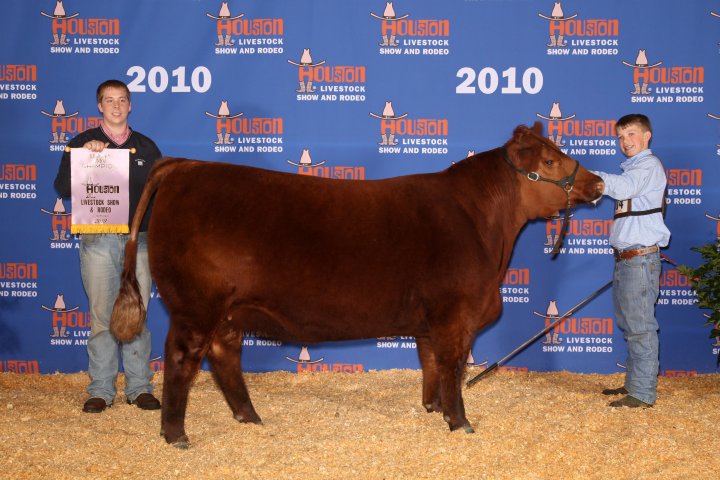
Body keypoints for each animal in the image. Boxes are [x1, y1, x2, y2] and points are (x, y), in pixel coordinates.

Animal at [111, 122, 604, 448]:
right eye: (549, 160)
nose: (598, 182)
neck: (484, 227)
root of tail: (184, 166)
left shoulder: (432, 322)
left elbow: (431, 364)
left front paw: (434, 409)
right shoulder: (456, 315)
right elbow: (453, 368)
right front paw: (460, 423)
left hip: (227, 311)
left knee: (224, 355)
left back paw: (250, 419)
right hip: (195, 304)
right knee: (182, 359)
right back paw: (176, 435)